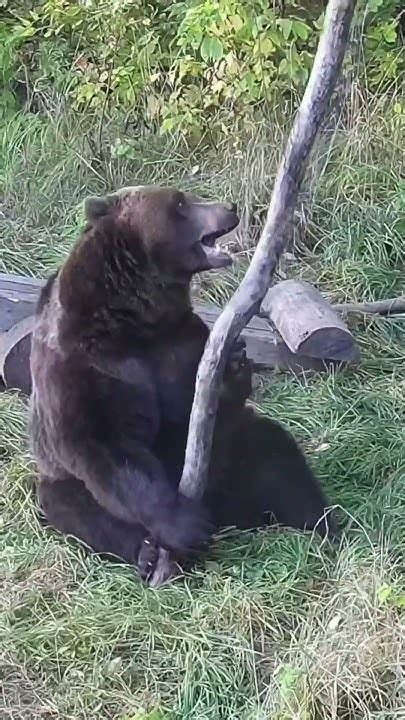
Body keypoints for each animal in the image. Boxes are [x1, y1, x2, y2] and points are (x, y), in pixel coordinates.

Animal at [29, 185, 338, 586]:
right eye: (179, 202)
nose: (229, 207)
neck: (134, 318)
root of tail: (231, 513)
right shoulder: (83, 365)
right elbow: (103, 446)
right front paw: (186, 523)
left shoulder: (180, 341)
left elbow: (192, 408)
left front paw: (234, 365)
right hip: (62, 484)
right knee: (74, 506)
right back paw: (148, 552)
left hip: (234, 455)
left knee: (278, 458)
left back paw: (327, 525)